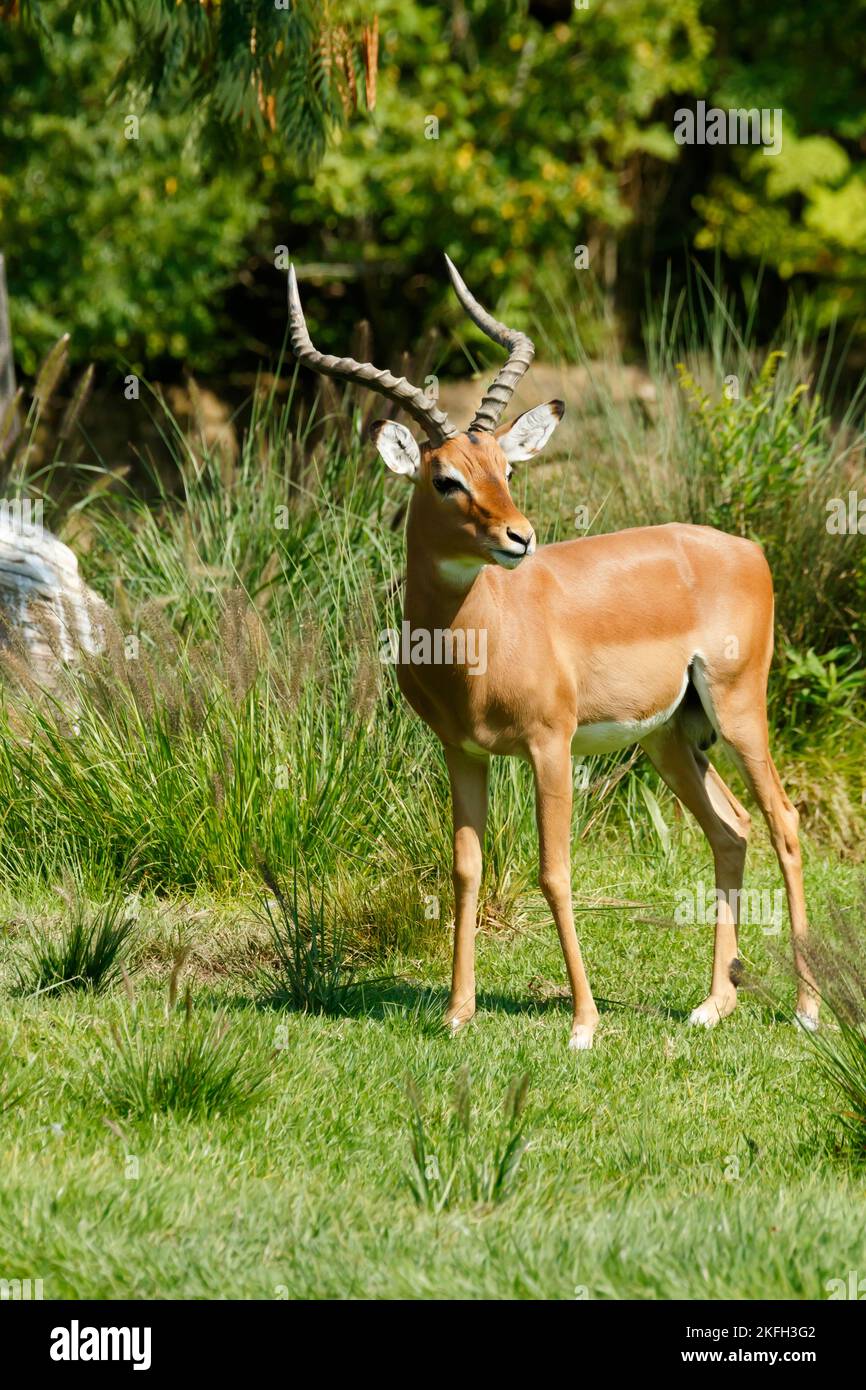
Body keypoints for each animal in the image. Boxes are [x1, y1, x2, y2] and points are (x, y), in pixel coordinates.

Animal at [288, 257, 820, 1049]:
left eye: (506, 470)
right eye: (447, 478)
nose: (521, 537)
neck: (478, 641)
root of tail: (748, 549)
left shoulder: (550, 745)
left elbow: (555, 871)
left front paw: (583, 1024)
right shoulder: (462, 752)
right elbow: (465, 868)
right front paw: (457, 1012)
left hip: (738, 710)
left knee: (783, 821)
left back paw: (809, 1008)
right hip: (670, 735)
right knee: (731, 829)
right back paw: (712, 1004)